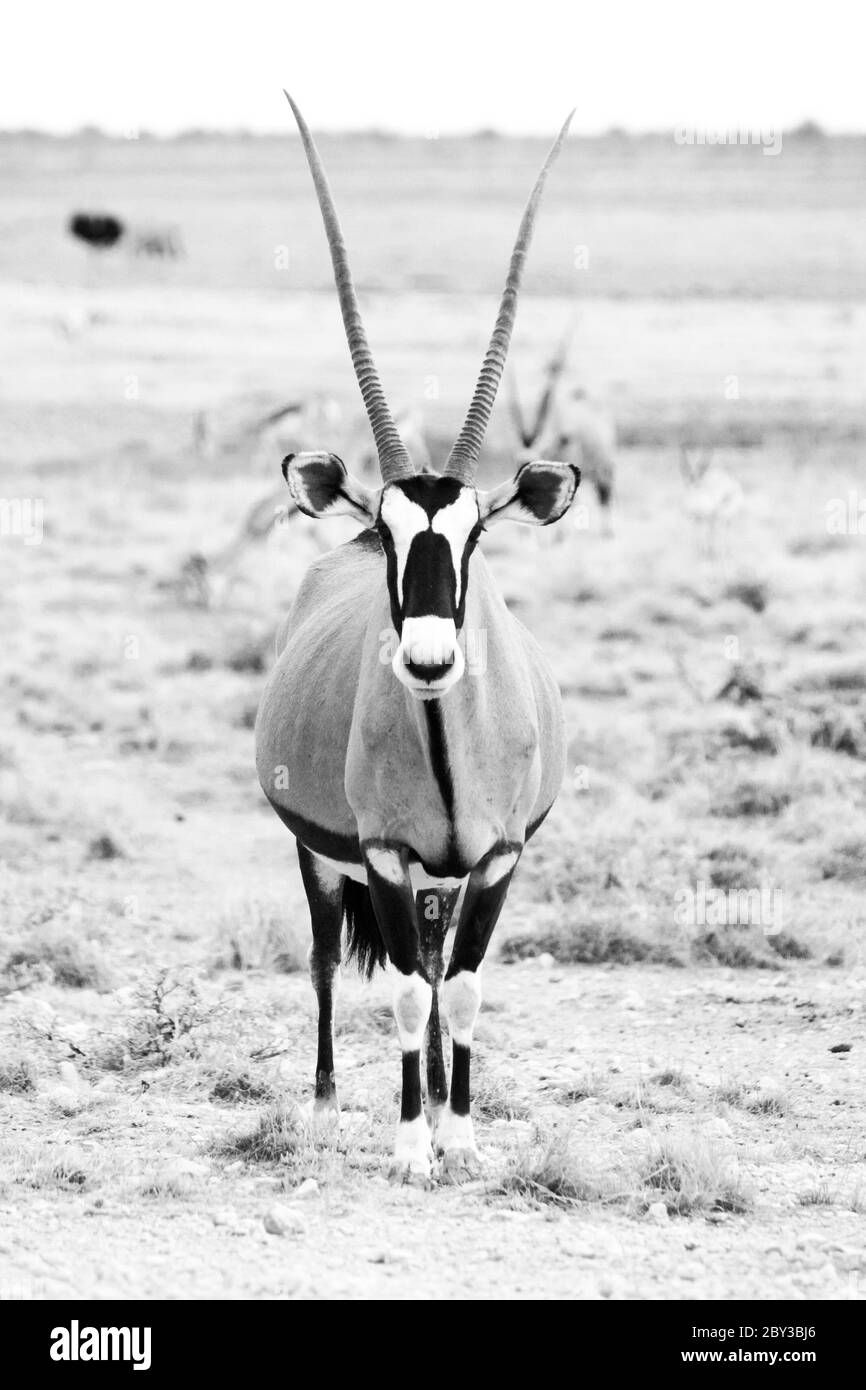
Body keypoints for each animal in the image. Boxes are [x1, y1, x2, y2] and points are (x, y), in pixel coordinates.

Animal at [256, 95, 580, 1182]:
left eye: (474, 533)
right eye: (395, 531)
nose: (430, 661)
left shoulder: (496, 857)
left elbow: (463, 984)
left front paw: (459, 1132)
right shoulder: (388, 855)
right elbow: (397, 986)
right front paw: (407, 1148)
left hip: (440, 880)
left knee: (438, 969)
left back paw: (439, 1099)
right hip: (321, 856)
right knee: (327, 958)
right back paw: (323, 1110)